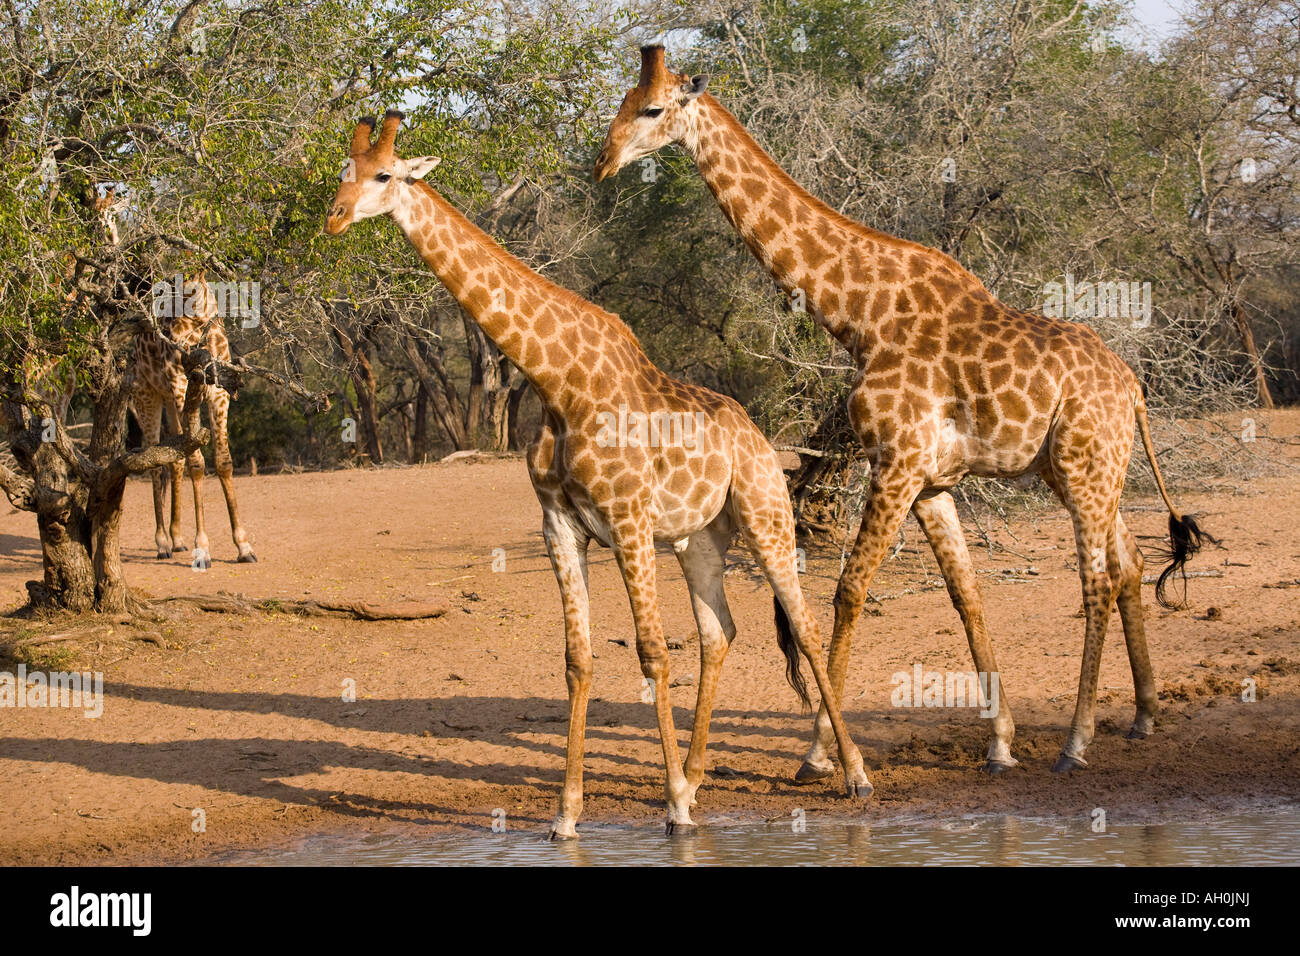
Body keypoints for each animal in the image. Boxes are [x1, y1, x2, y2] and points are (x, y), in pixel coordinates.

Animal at [131, 273, 256, 566]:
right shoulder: (181, 385)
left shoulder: (219, 392)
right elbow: (197, 463)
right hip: (147, 394)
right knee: (154, 460)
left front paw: (243, 546)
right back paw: (162, 543)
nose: (171, 334)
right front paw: (204, 548)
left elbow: (224, 462)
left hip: (168, 398)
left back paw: (177, 539)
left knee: (174, 458)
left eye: (191, 291)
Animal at [325, 110, 870, 837]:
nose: (334, 218)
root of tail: (756, 437)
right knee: (719, 631)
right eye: (342, 171)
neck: (557, 381)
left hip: (765, 514)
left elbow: (652, 652)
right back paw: (697, 775)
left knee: (802, 626)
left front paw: (672, 809)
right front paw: (568, 814)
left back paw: (850, 774)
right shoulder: (561, 523)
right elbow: (578, 659)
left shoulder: (628, 518)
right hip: (699, 539)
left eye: (384, 175)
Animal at [594, 46, 1214, 777]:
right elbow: (966, 594)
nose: (603, 160)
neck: (860, 316)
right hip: (1085, 472)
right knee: (1130, 562)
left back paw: (1076, 741)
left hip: (1084, 468)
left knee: (1096, 579)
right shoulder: (931, 480)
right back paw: (1143, 714)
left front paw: (819, 756)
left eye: (653, 108)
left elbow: (849, 590)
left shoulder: (896, 462)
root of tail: (1135, 390)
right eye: (623, 100)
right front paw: (1000, 743)